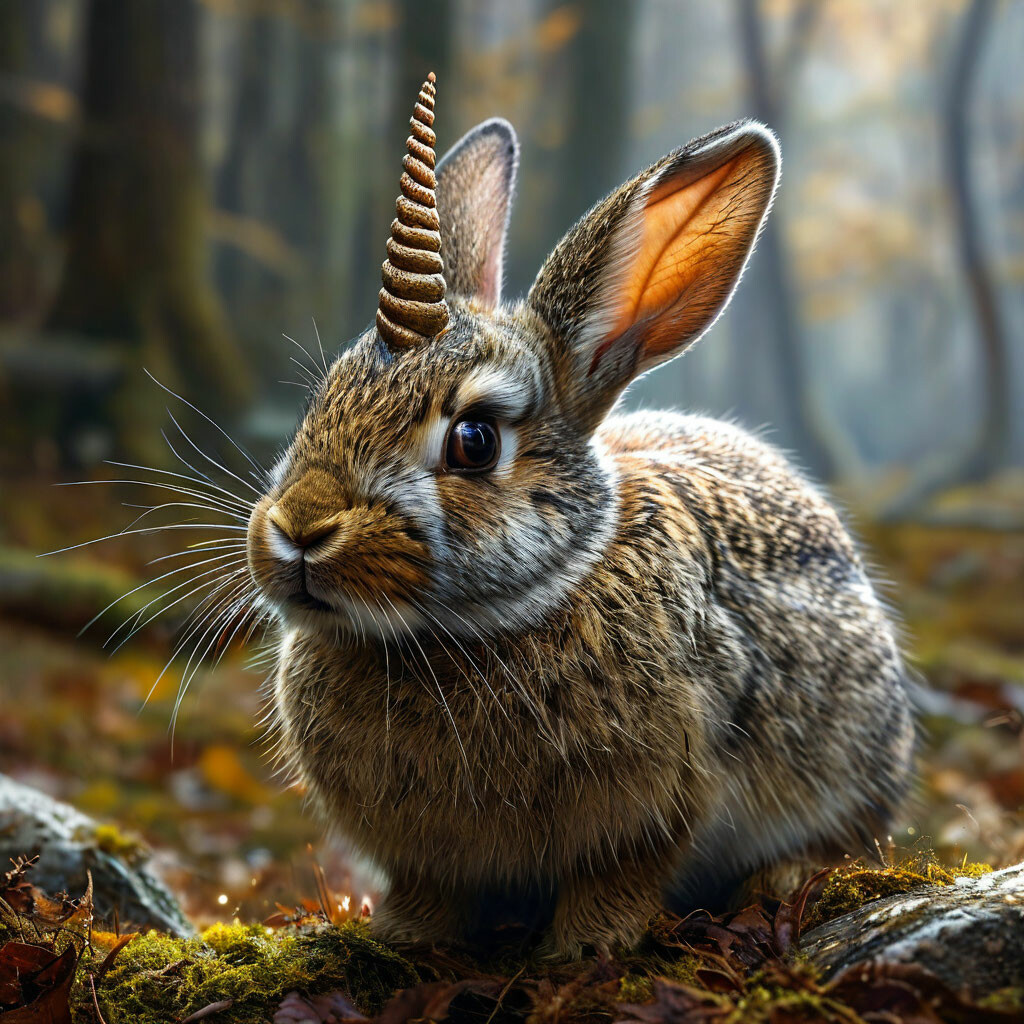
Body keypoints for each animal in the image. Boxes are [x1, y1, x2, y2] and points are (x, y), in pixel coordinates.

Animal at [246, 74, 915, 958]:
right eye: (319, 402)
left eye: (473, 440)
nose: (300, 528)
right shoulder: (423, 855)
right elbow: (428, 891)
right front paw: (401, 936)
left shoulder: (662, 803)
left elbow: (620, 878)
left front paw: (585, 948)